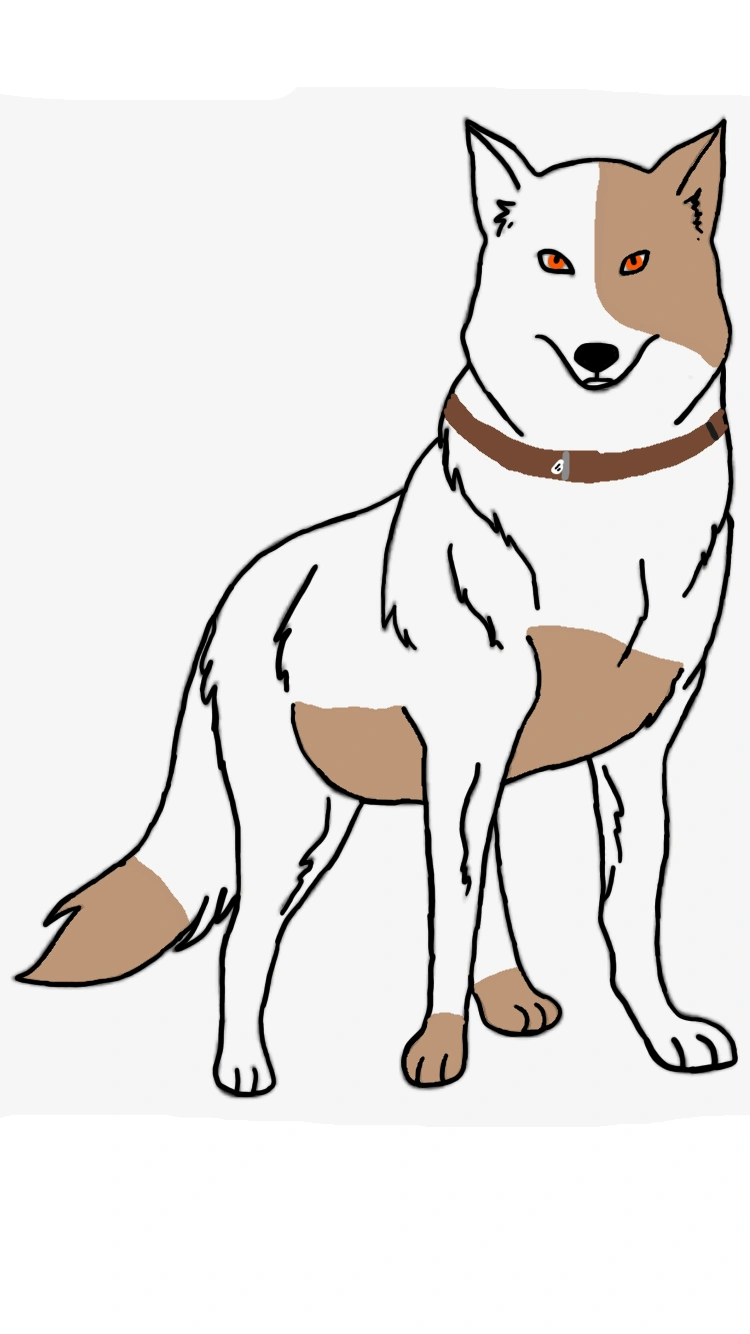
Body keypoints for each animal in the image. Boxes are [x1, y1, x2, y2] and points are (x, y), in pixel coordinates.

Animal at [20, 120, 736, 1096]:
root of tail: (230, 602)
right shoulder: (468, 751)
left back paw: (511, 998)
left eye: (637, 261)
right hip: (301, 822)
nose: (596, 355)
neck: (589, 480)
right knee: (247, 940)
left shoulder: (632, 755)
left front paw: (663, 1033)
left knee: (481, 891)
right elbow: (446, 919)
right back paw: (243, 1064)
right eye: (553, 261)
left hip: (441, 783)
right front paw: (437, 1049)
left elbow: (622, 913)